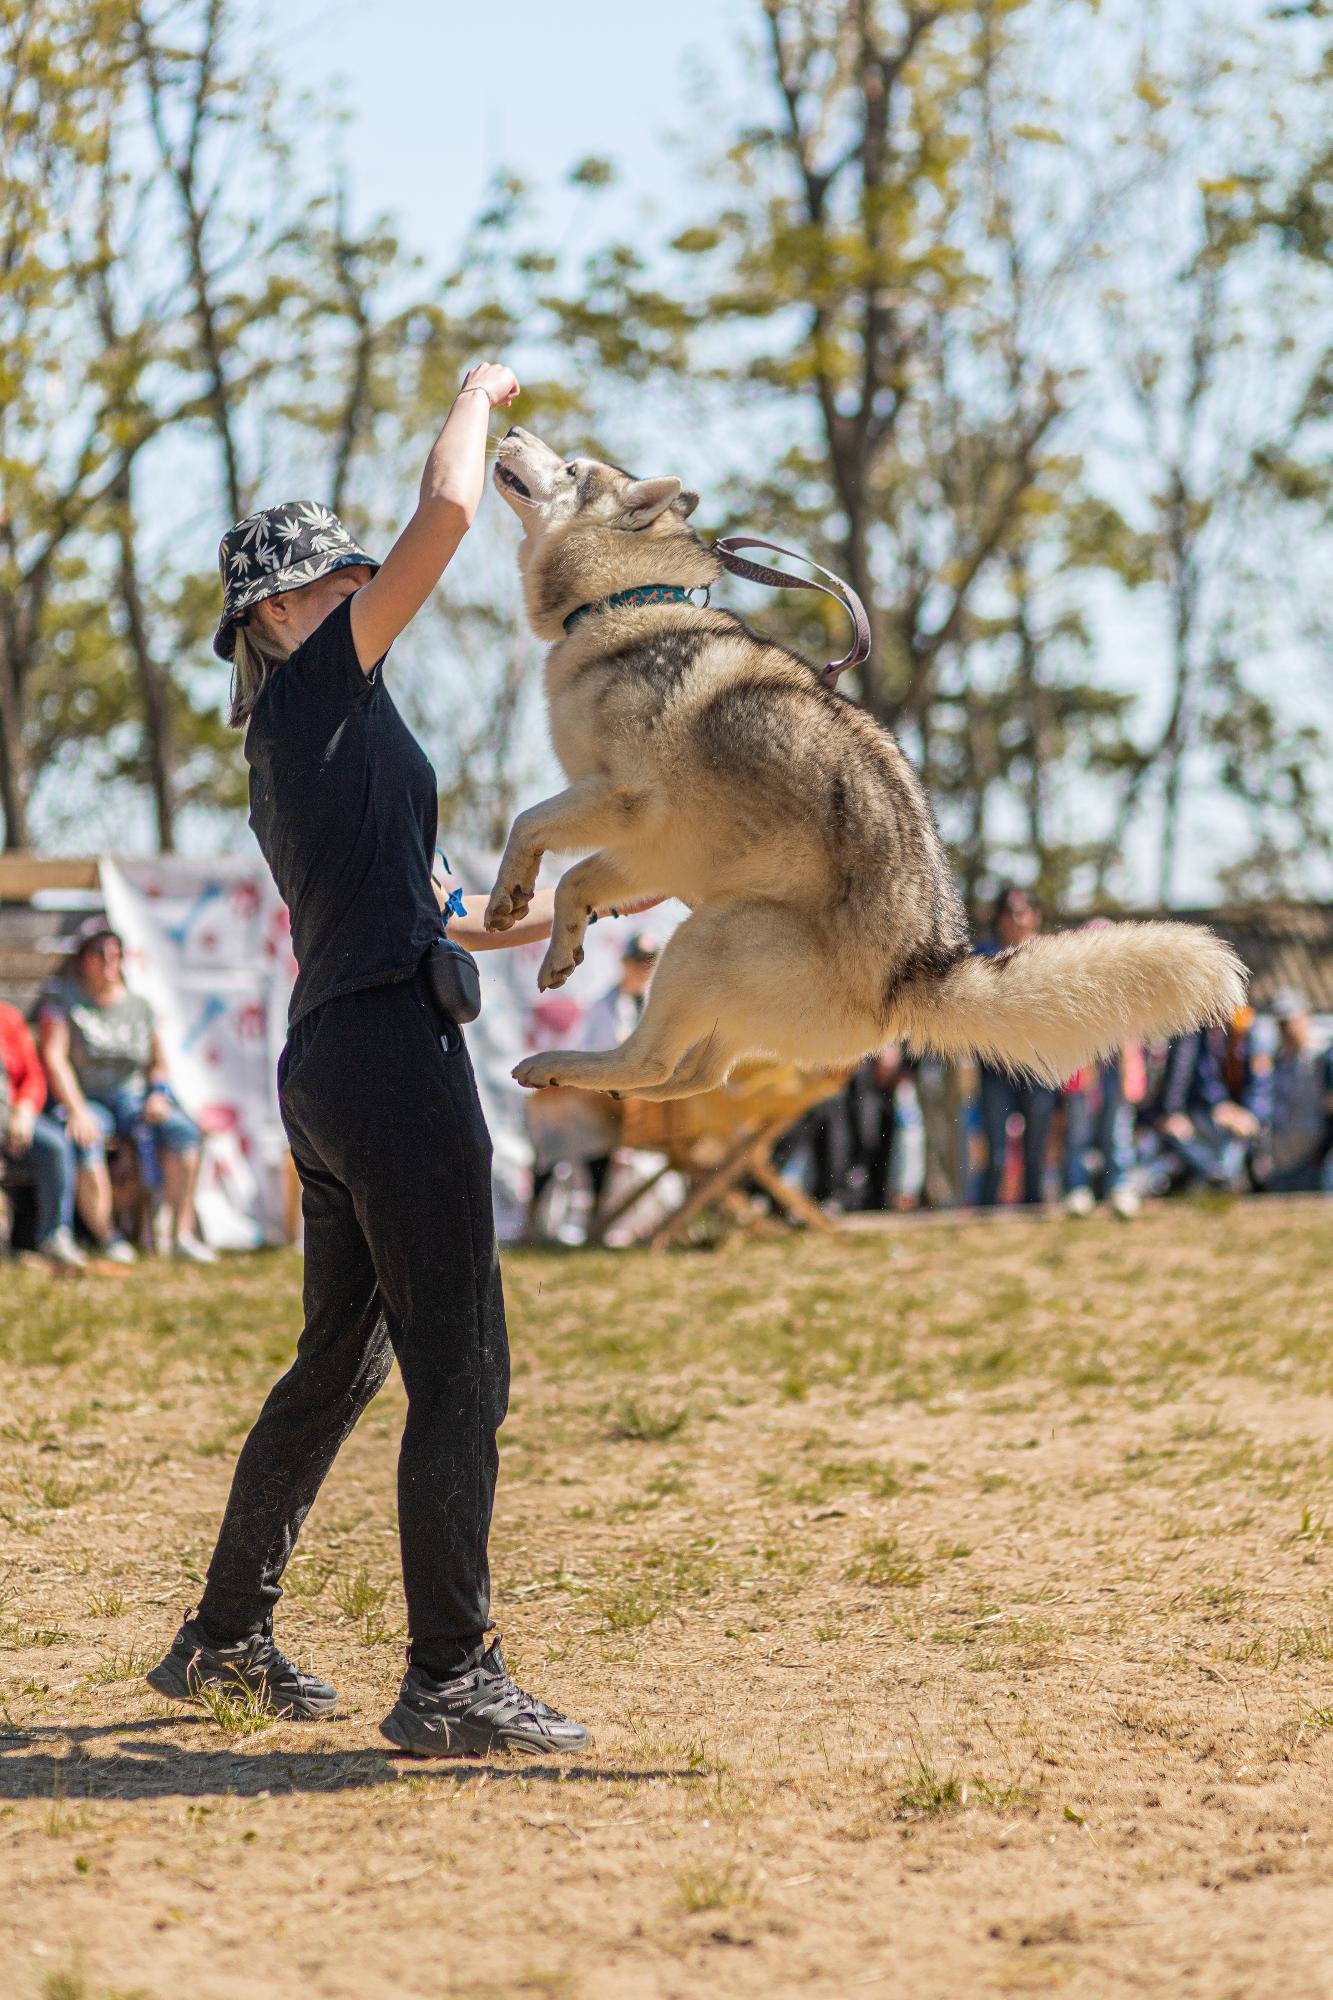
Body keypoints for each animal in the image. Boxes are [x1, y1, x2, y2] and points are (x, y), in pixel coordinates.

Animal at [482, 428, 1240, 1104]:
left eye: (572, 469)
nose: (511, 424)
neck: (622, 603)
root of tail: (917, 974)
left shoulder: (625, 802)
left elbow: (529, 824)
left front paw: (504, 895)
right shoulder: (652, 854)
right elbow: (576, 880)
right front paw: (556, 943)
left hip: (710, 938)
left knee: (655, 1061)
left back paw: (562, 1065)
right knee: (697, 1076)